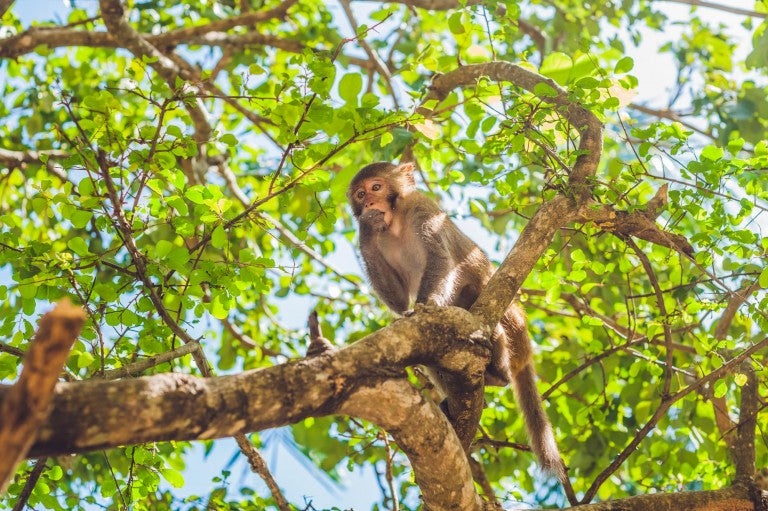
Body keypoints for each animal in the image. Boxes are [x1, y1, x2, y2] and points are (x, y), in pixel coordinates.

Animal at [347, 161, 566, 481]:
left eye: (377, 187)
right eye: (361, 194)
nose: (370, 203)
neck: (396, 220)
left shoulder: (423, 209)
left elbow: (439, 257)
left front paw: (427, 306)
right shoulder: (378, 239)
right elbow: (399, 302)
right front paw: (366, 224)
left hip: (510, 320)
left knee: (477, 305)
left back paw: (498, 372)